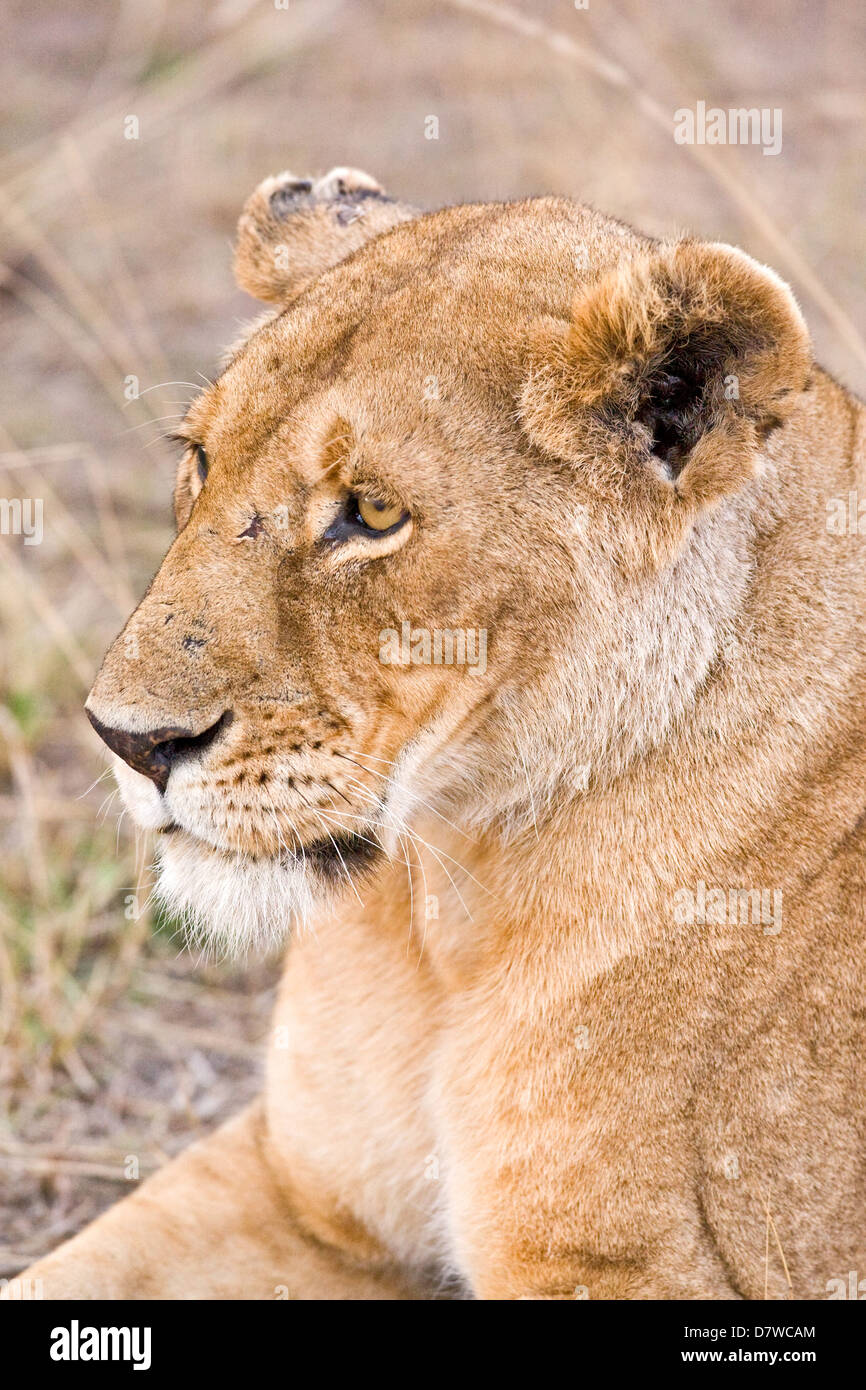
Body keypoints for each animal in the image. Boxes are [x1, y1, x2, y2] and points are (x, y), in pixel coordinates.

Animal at [8, 165, 866, 1300]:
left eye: (371, 515)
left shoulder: (624, 1270)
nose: (128, 740)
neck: (440, 908)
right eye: (199, 457)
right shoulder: (297, 1185)